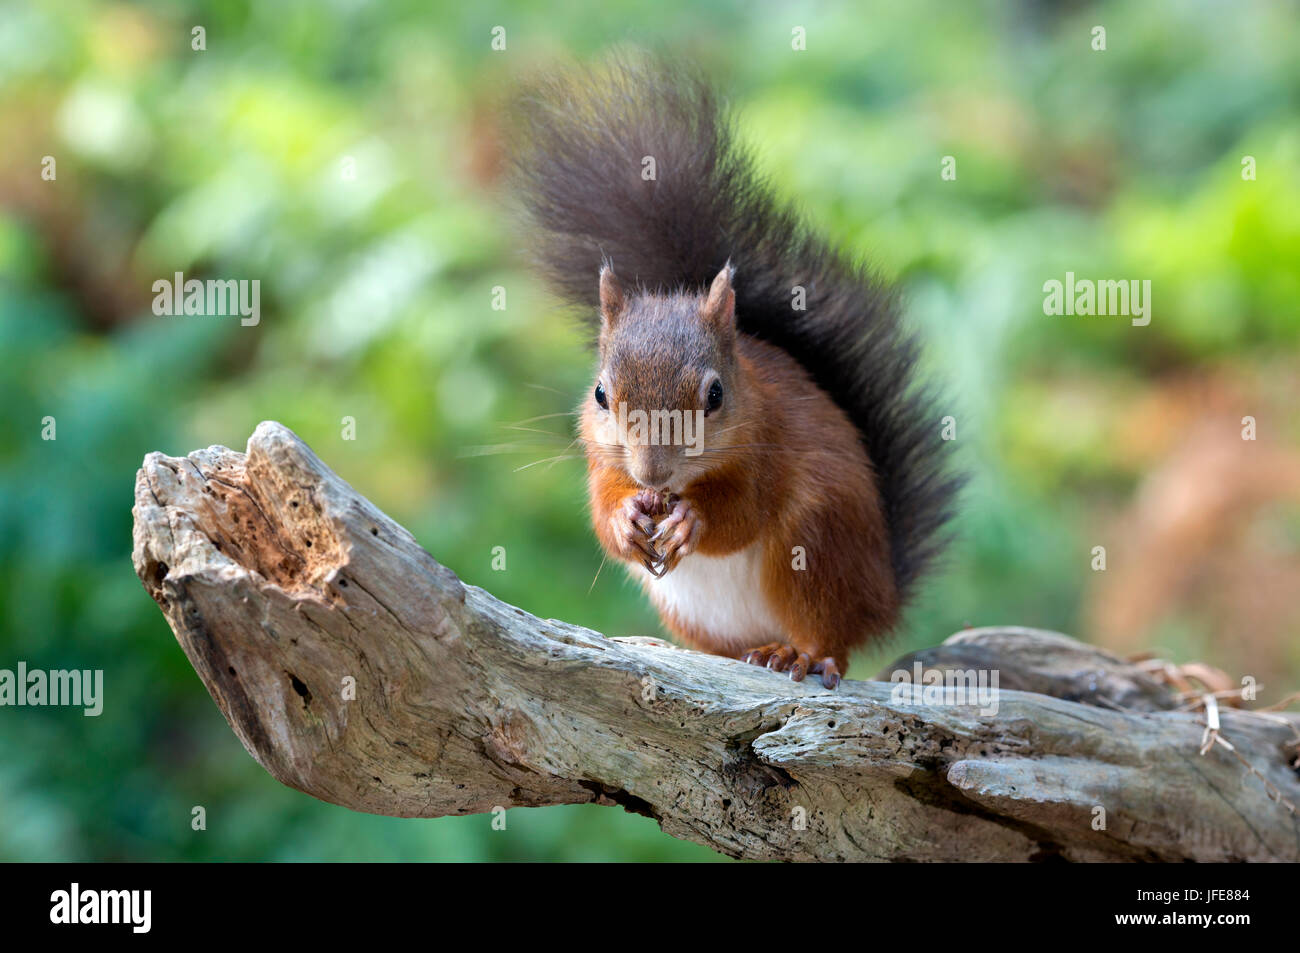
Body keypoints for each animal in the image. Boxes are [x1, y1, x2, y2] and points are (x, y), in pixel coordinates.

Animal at [508, 55, 961, 688]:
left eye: (716, 395)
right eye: (599, 394)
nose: (651, 474)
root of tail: (883, 598)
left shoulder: (768, 445)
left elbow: (741, 514)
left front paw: (692, 521)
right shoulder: (600, 459)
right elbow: (601, 515)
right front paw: (624, 518)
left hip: (816, 547)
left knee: (833, 639)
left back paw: (799, 654)